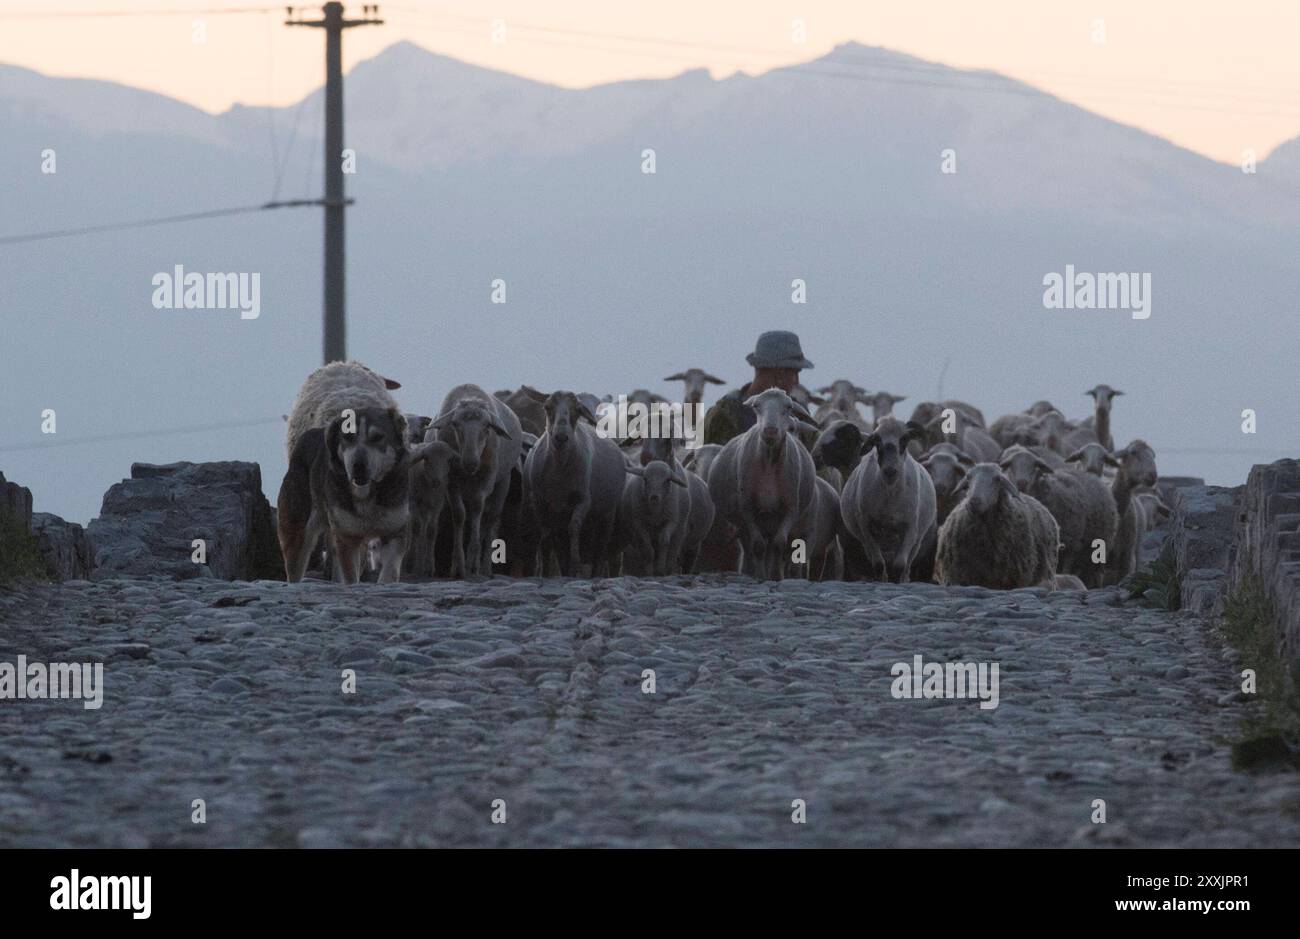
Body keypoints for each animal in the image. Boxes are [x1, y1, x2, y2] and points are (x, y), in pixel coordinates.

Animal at [431, 384, 523, 578]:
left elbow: (477, 509)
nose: (470, 461)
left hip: (503, 481)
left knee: (489, 519)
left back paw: (484, 567)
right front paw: (458, 566)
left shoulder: (487, 479)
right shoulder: (451, 481)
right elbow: (459, 514)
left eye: (487, 426)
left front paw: (472, 563)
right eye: (455, 424)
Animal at [524, 390, 627, 576]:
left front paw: (575, 565)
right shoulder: (539, 502)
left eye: (577, 410)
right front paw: (545, 572)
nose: (561, 437)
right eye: (547, 407)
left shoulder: (583, 500)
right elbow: (546, 536)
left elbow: (574, 527)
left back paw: (594, 574)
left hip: (607, 514)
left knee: (600, 547)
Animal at [707, 388, 820, 580]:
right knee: (751, 548)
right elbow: (758, 546)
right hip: (747, 523)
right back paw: (749, 571)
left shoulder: (790, 509)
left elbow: (779, 545)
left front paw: (776, 576)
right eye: (756, 406)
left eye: (789, 407)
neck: (769, 461)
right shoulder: (748, 509)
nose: (770, 430)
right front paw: (760, 576)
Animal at [839, 416, 936, 583]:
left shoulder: (911, 528)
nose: (890, 471)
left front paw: (896, 581)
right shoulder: (866, 527)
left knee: (908, 564)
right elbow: (878, 564)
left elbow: (899, 565)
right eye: (876, 440)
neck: (889, 500)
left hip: (918, 540)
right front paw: (881, 579)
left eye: (904, 439)